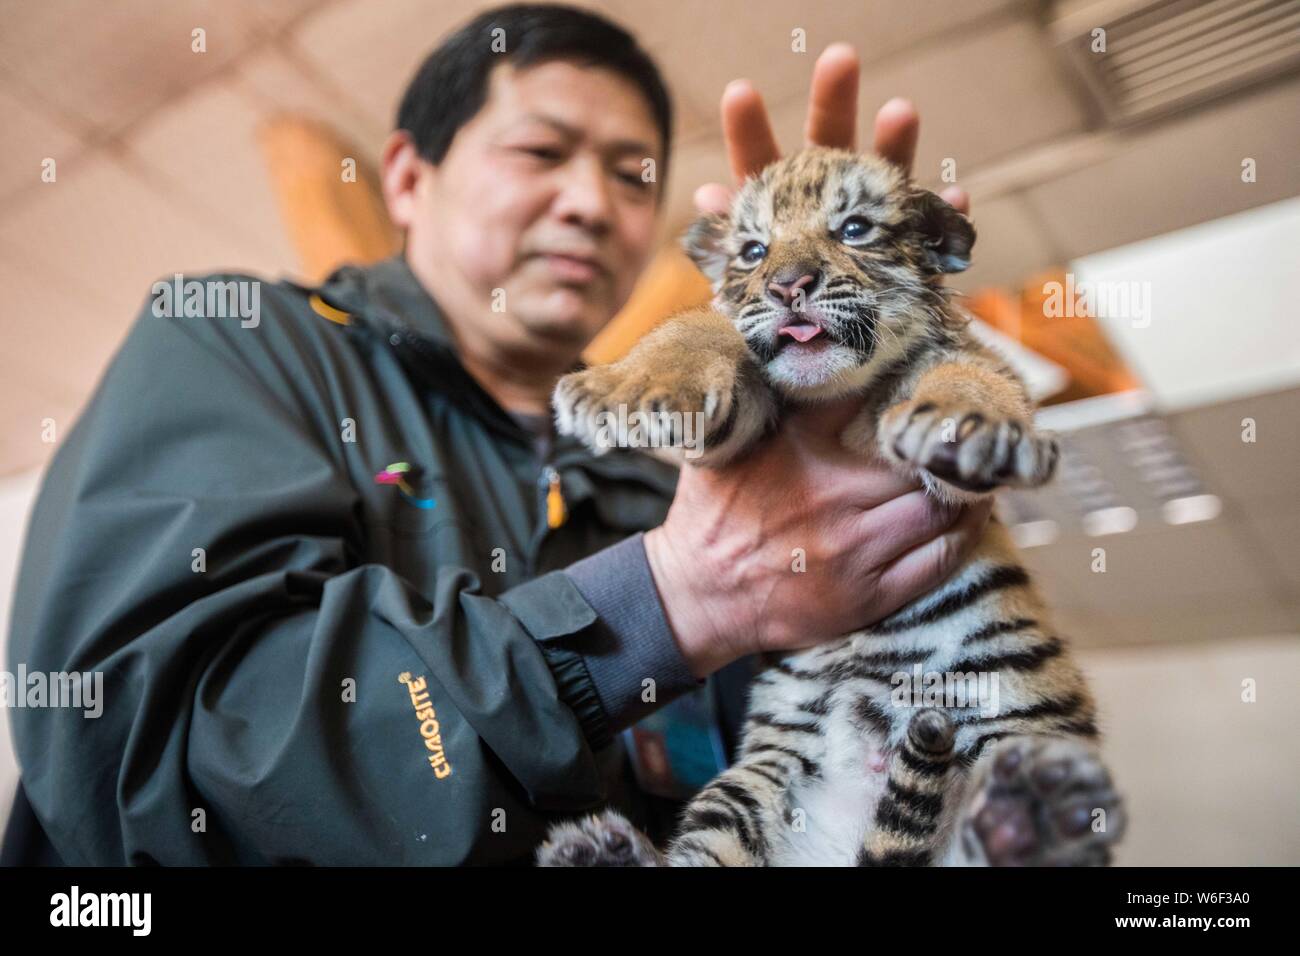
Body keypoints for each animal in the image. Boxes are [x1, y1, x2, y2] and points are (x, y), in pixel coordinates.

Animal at [536, 146, 1126, 867]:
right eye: (753, 250)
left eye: (854, 229)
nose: (789, 285)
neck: (832, 399)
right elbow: (701, 324)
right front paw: (620, 388)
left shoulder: (962, 366)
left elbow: (967, 373)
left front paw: (970, 428)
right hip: (754, 777)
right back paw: (601, 850)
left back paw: (1027, 818)